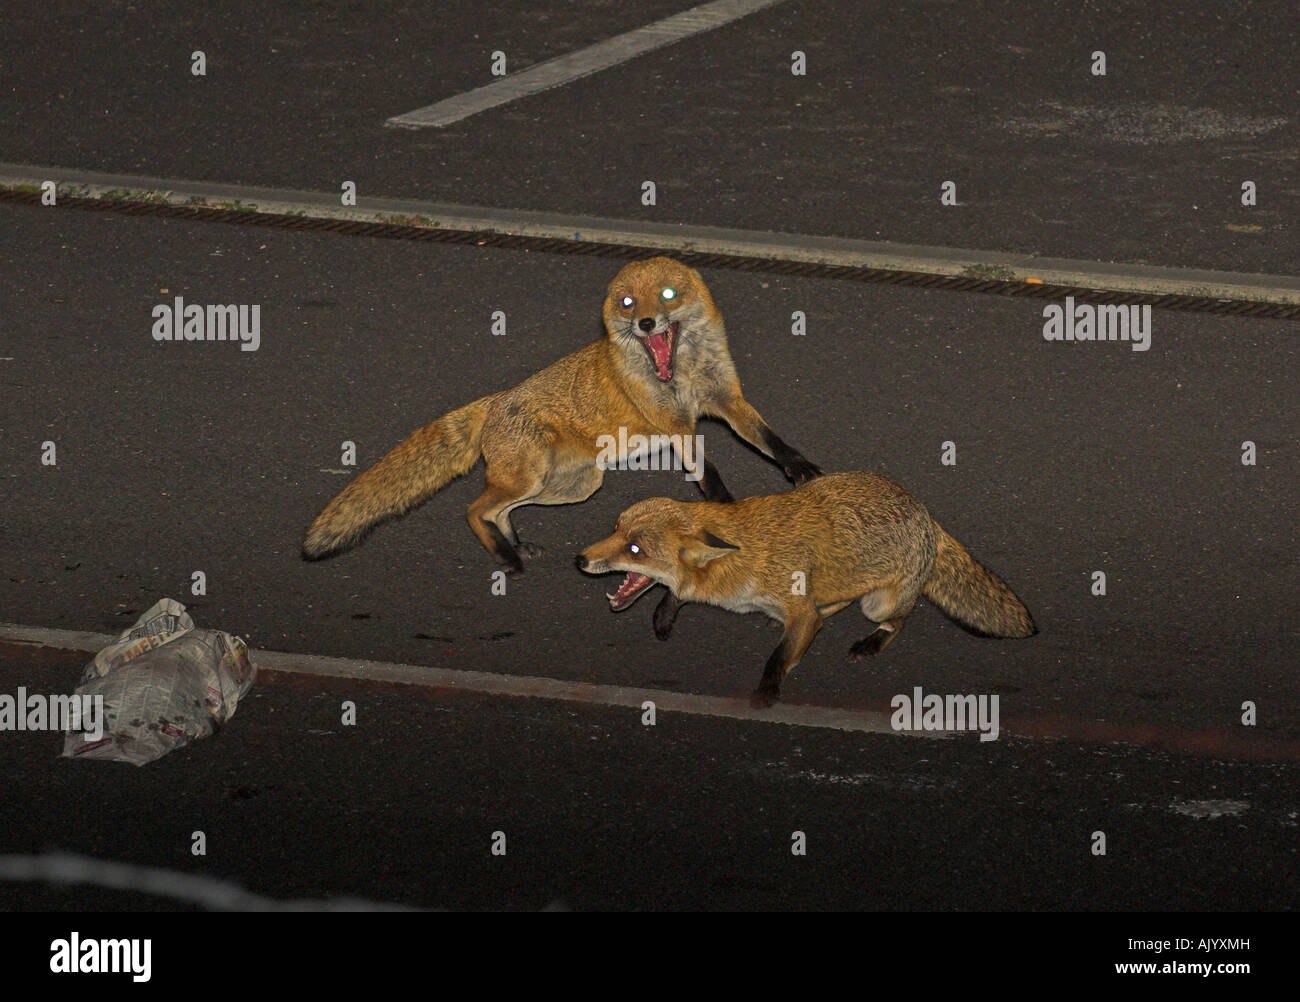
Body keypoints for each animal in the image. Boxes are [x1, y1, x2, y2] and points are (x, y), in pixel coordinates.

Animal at [302, 256, 821, 573]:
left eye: (669, 295)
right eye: (628, 302)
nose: (645, 323)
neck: (685, 373)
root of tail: (496, 400)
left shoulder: (728, 402)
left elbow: (771, 441)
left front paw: (801, 469)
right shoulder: (677, 427)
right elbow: (709, 475)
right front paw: (726, 511)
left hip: (573, 485)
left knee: (500, 509)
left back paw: (514, 544)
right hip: (535, 478)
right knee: (474, 509)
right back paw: (507, 557)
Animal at [576, 472, 1037, 707]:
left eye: (635, 549)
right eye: (614, 528)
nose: (579, 560)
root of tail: (927, 514)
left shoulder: (798, 609)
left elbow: (779, 656)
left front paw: (767, 692)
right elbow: (677, 592)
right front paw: (665, 614)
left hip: (878, 604)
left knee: (899, 620)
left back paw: (872, 642)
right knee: (839, 602)